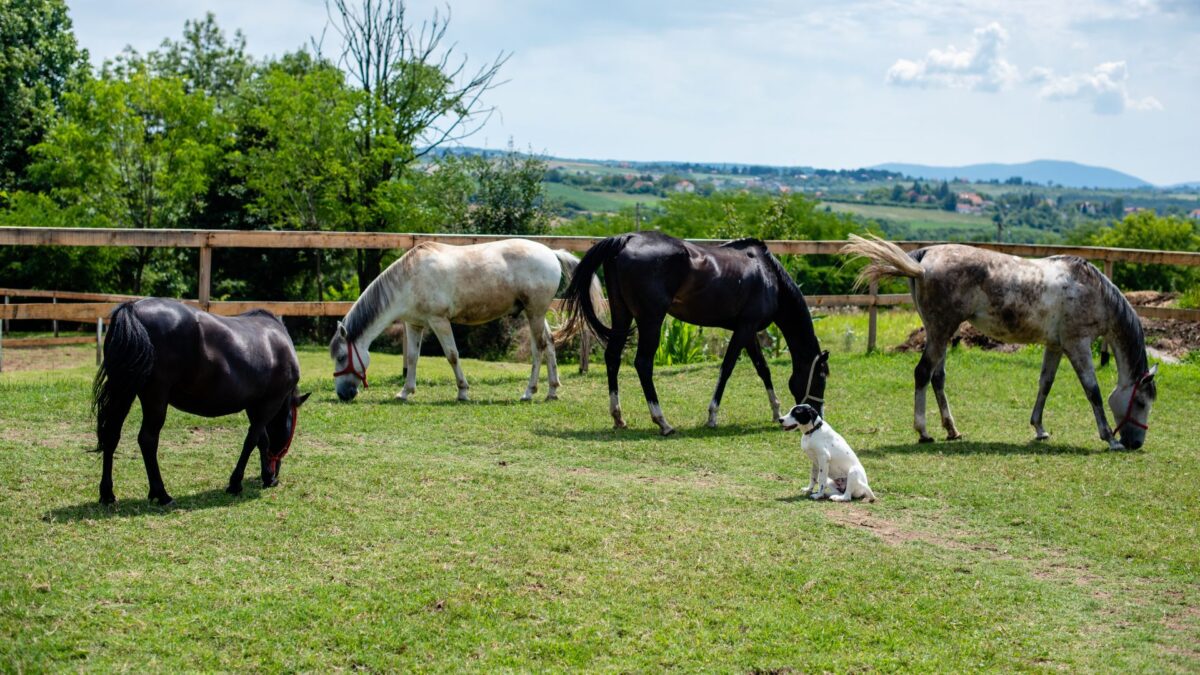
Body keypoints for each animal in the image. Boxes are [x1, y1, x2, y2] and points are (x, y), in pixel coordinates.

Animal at [93, 299, 310, 505]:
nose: (276, 471)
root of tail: (133, 309)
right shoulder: (269, 404)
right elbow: (252, 440)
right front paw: (237, 483)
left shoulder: (254, 406)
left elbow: (262, 440)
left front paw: (266, 476)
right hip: (155, 397)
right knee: (147, 439)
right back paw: (162, 495)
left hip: (124, 391)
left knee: (111, 435)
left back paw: (107, 494)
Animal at [329, 239, 604, 403]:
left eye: (341, 357)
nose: (343, 394)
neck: (409, 278)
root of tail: (551, 252)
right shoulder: (415, 324)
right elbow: (412, 358)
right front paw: (405, 392)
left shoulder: (439, 321)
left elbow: (452, 355)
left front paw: (462, 391)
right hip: (535, 313)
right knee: (549, 345)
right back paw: (552, 390)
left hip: (534, 312)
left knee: (539, 348)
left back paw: (529, 392)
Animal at [556, 231, 829, 436]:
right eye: (823, 375)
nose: (818, 415)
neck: (768, 275)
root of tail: (628, 238)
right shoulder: (745, 329)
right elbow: (727, 368)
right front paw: (712, 416)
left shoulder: (748, 331)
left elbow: (763, 369)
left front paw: (775, 410)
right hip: (651, 320)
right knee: (643, 363)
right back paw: (662, 422)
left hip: (622, 313)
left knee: (612, 357)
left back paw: (618, 417)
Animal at [841, 234, 1157, 450]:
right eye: (1141, 402)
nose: (1135, 443)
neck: (1091, 291)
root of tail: (925, 259)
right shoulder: (1077, 344)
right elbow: (1093, 391)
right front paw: (1109, 438)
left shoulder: (1055, 346)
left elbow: (1045, 384)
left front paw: (1039, 428)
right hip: (941, 330)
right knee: (922, 373)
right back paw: (923, 431)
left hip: (938, 333)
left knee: (937, 377)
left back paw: (952, 430)